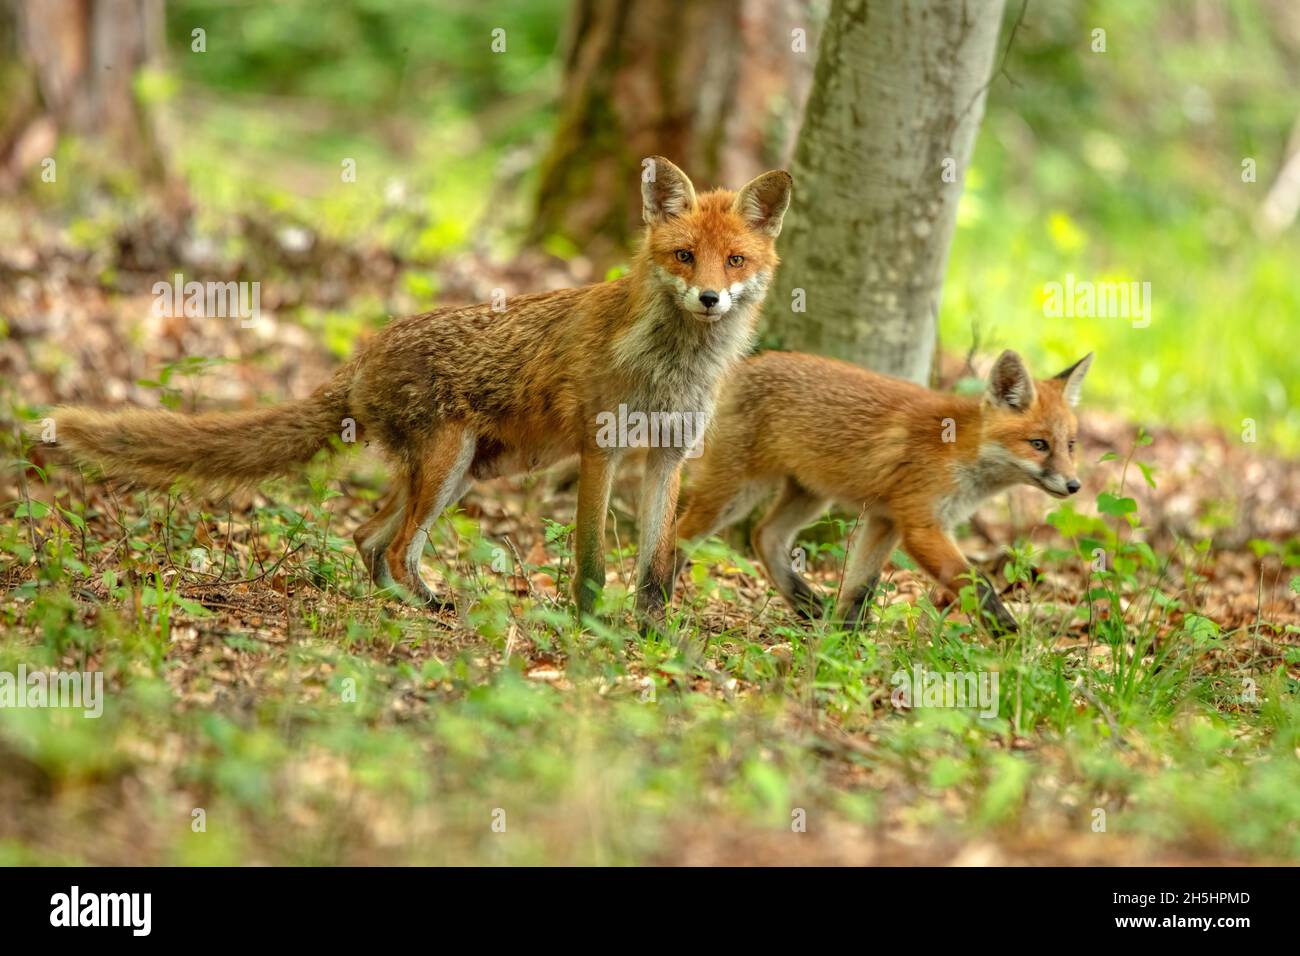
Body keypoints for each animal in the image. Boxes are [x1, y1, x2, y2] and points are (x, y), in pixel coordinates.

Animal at [45, 157, 793, 631]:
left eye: (735, 260)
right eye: (683, 256)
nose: (710, 298)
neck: (672, 365)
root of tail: (366, 349)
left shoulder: (668, 454)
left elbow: (657, 564)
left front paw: (653, 633)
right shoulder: (600, 450)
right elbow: (590, 561)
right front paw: (591, 629)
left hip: (463, 474)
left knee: (367, 537)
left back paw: (398, 604)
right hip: (447, 467)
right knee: (399, 545)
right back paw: (432, 609)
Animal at [675, 348, 1094, 634]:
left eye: (1070, 445)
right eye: (1039, 444)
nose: (1074, 486)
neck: (960, 450)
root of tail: (748, 362)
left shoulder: (885, 519)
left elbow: (861, 587)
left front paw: (845, 641)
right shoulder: (921, 525)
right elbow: (981, 584)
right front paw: (1009, 638)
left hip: (810, 495)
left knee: (766, 536)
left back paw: (806, 603)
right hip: (736, 493)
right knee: (680, 535)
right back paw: (661, 602)